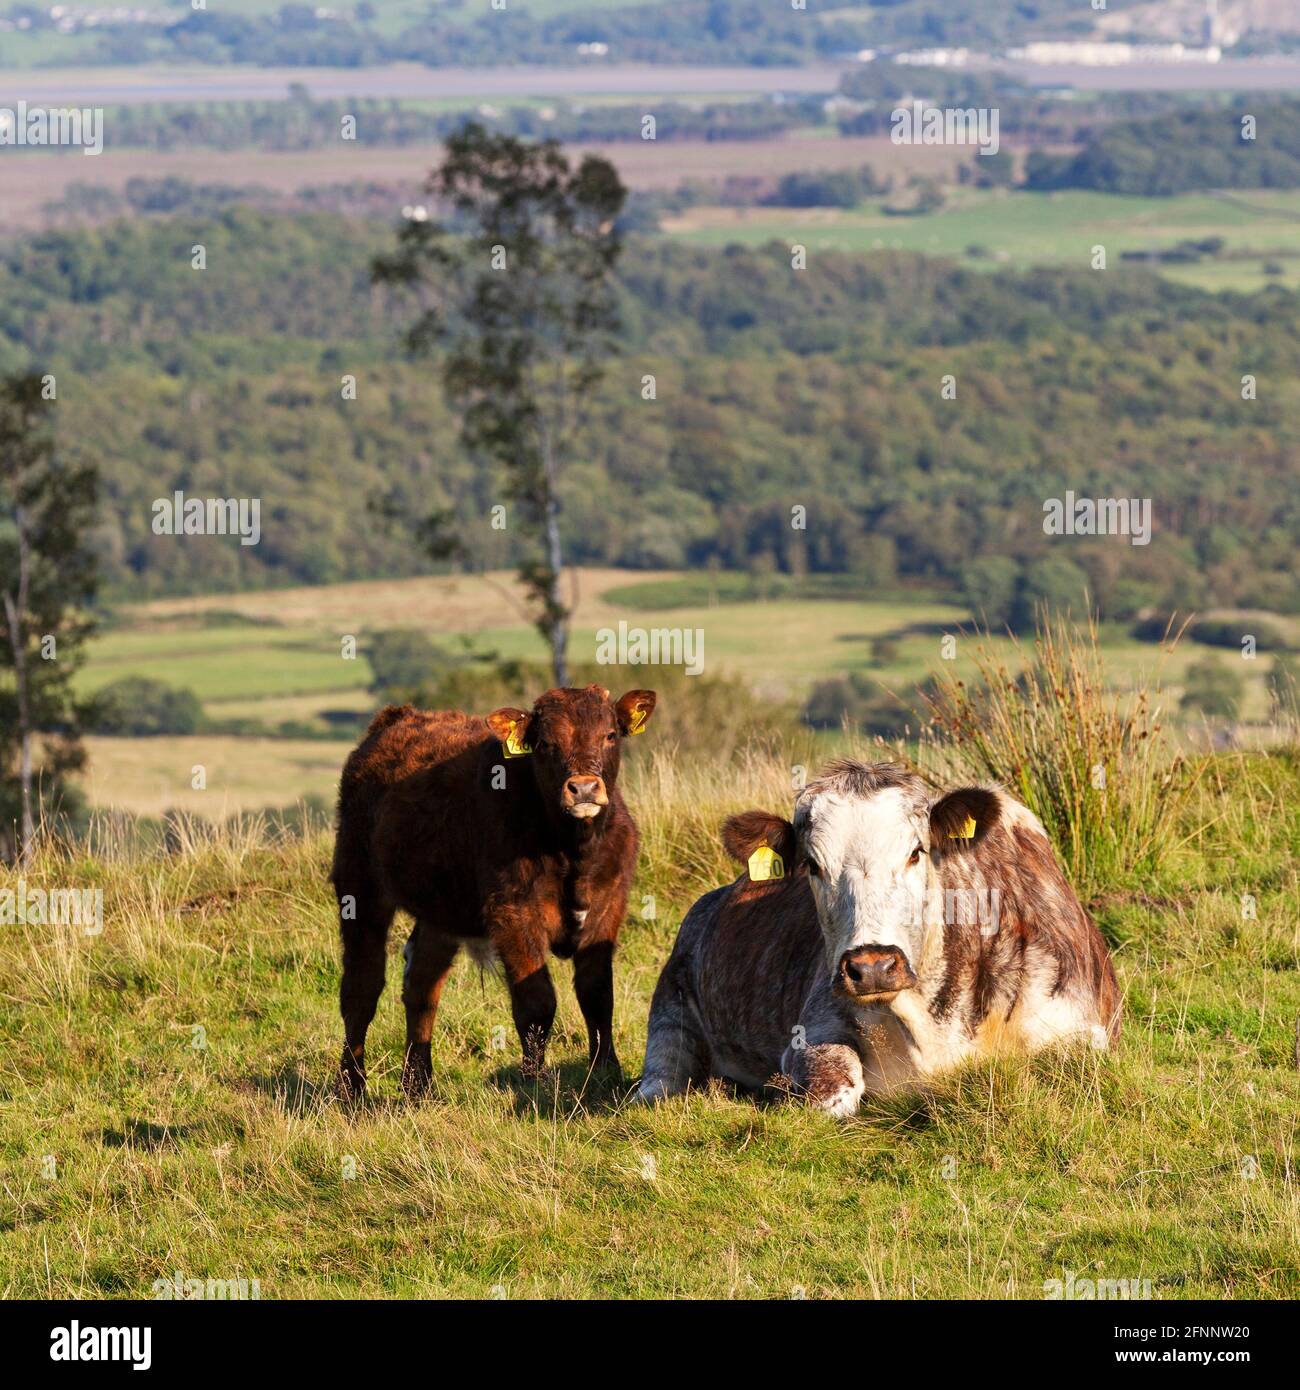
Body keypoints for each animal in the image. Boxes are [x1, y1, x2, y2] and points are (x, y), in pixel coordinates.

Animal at [332, 683, 656, 1097]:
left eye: (610, 735)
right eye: (546, 743)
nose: (583, 788)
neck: (573, 849)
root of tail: (397, 716)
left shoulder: (608, 906)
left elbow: (597, 993)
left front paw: (605, 1071)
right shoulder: (513, 912)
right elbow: (537, 1002)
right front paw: (535, 1083)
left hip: (441, 911)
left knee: (421, 985)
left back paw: (418, 1084)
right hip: (359, 887)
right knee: (361, 987)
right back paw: (351, 1087)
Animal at [639, 759, 1120, 1116]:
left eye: (916, 852)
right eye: (812, 865)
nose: (872, 967)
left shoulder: (1079, 1026)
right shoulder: (814, 1028)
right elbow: (831, 1095)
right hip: (668, 1016)